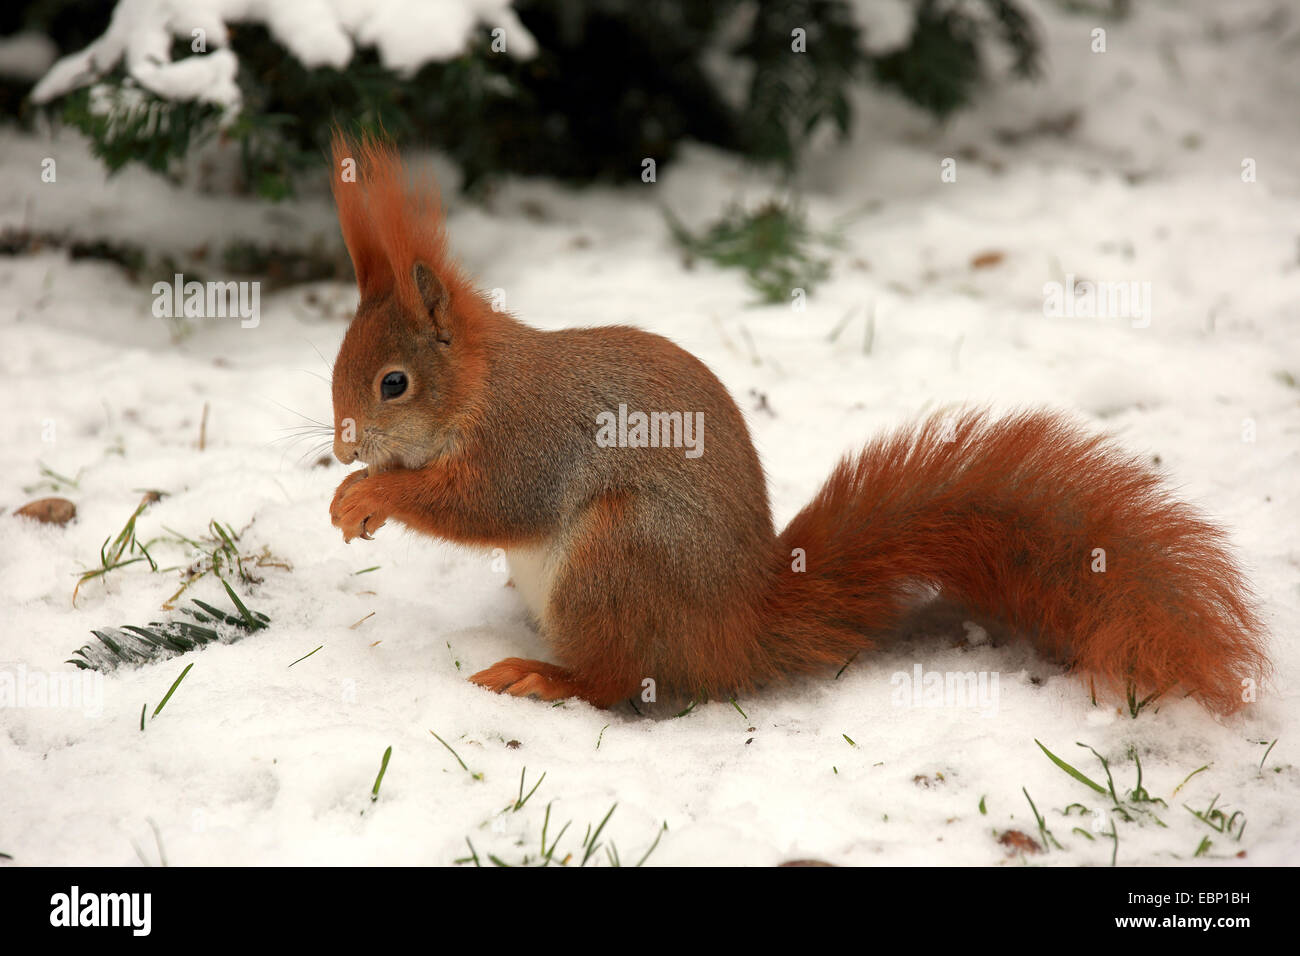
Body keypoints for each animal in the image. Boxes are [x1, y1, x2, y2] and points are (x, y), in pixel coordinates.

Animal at [325, 133, 1270, 715]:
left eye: (394, 383)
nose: (341, 444)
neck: (481, 385)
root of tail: (736, 631)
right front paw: (351, 494)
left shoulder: (527, 443)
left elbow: (483, 505)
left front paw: (369, 496)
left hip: (619, 556)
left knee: (614, 681)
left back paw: (543, 677)